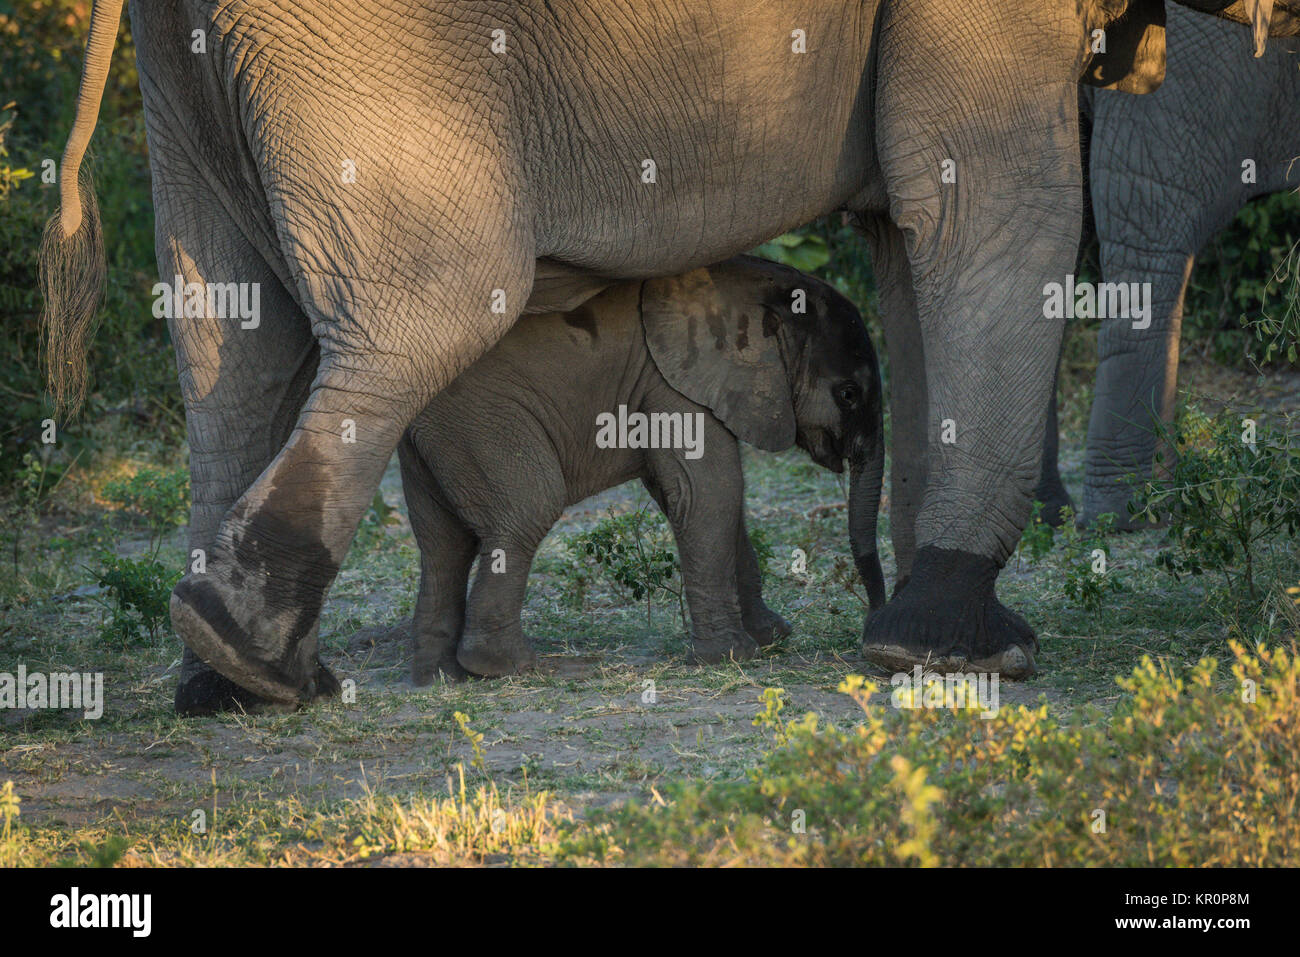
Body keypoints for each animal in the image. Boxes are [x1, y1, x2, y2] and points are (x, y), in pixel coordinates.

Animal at [397, 255, 886, 681]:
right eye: (848, 394)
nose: (871, 632)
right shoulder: (673, 380)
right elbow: (710, 491)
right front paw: (732, 656)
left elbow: (712, 497)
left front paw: (772, 638)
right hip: (483, 423)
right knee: (527, 509)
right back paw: (506, 666)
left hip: (438, 440)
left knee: (442, 543)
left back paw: (438, 676)